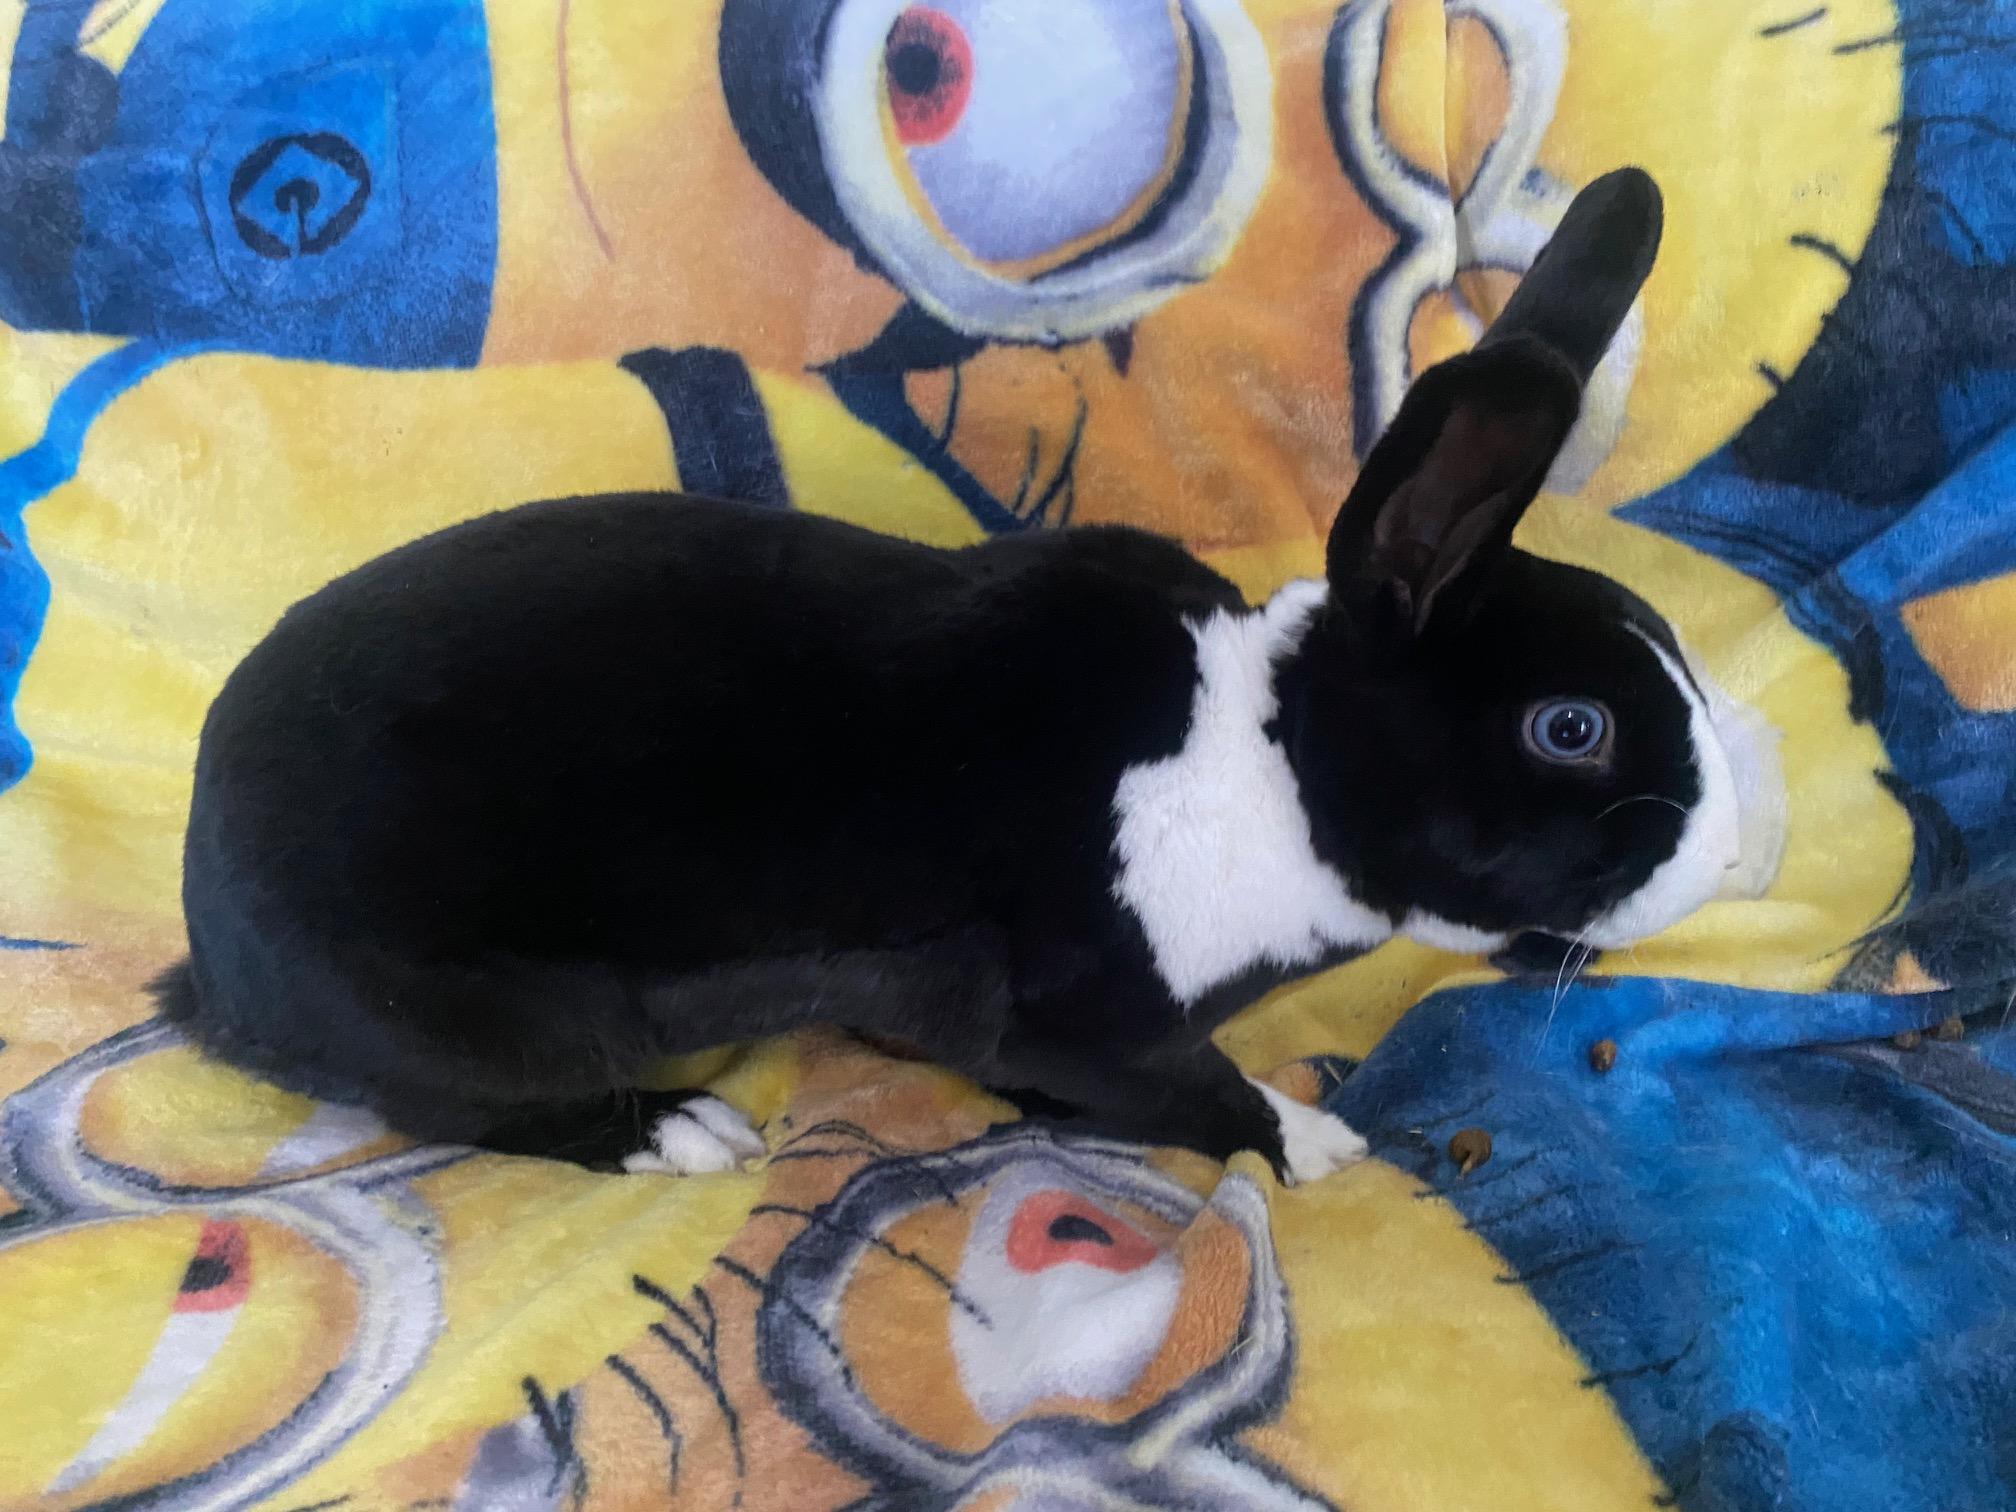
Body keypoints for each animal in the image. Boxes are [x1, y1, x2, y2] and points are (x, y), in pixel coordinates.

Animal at [154, 167, 1783, 1185]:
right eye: (1569, 727)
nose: (1738, 853)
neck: (1275, 761)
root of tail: (204, 937)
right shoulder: (1084, 1011)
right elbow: (1188, 1089)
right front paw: (1308, 1146)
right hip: (464, 1014)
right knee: (455, 1105)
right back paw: (676, 1134)